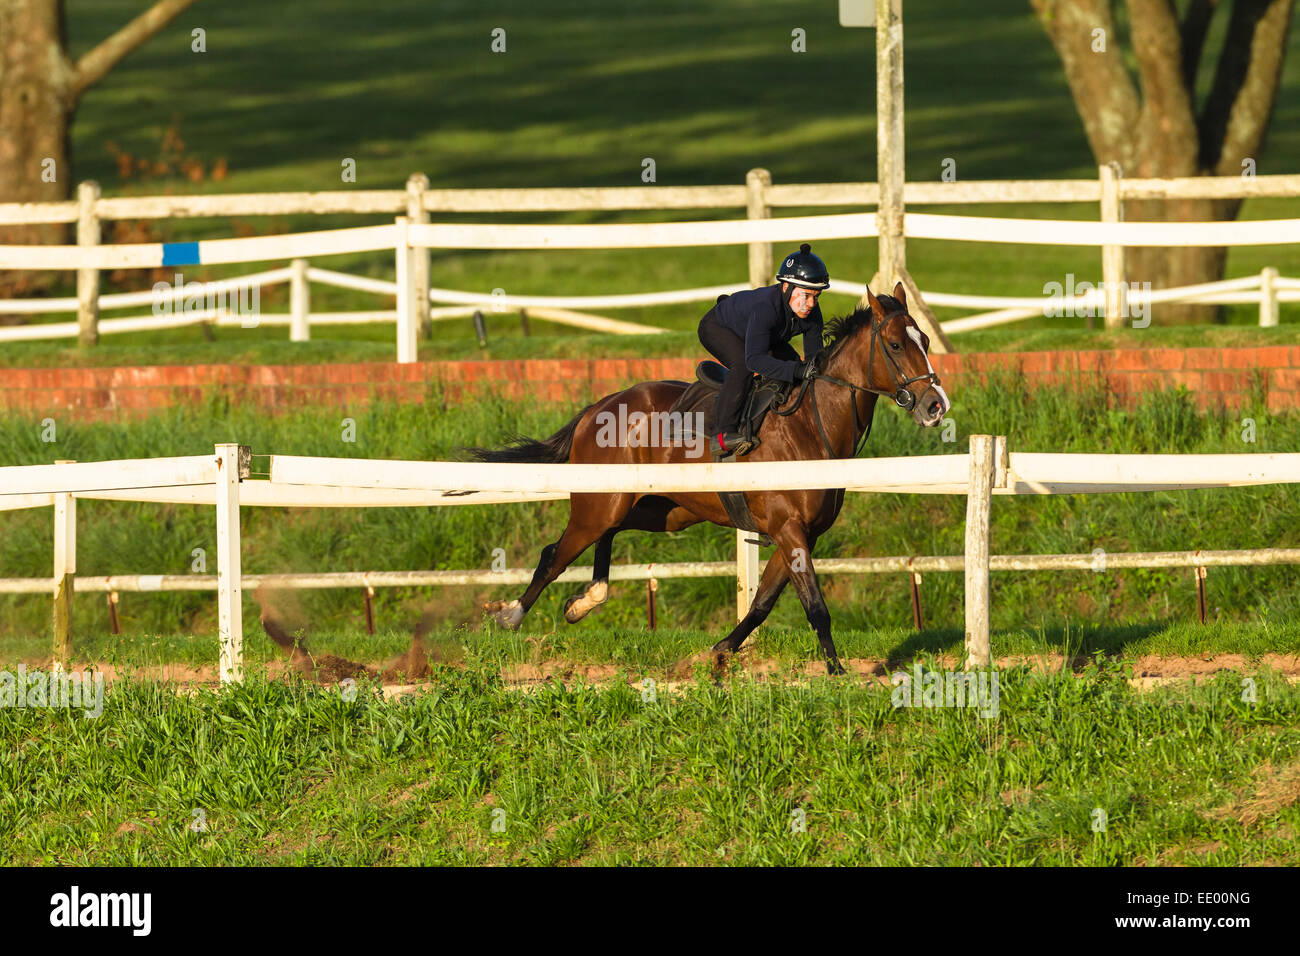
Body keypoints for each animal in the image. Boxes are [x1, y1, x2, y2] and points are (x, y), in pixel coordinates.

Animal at [469, 283, 950, 675]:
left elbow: (762, 603)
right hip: (600, 505)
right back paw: (510, 614)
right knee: (555, 554)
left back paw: (586, 601)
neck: (809, 428)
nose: (936, 405)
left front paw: (720, 651)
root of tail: (596, 407)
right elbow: (815, 606)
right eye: (895, 344)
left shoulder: (800, 535)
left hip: (661, 509)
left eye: (925, 340)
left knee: (608, 533)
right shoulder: (789, 530)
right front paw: (835, 672)